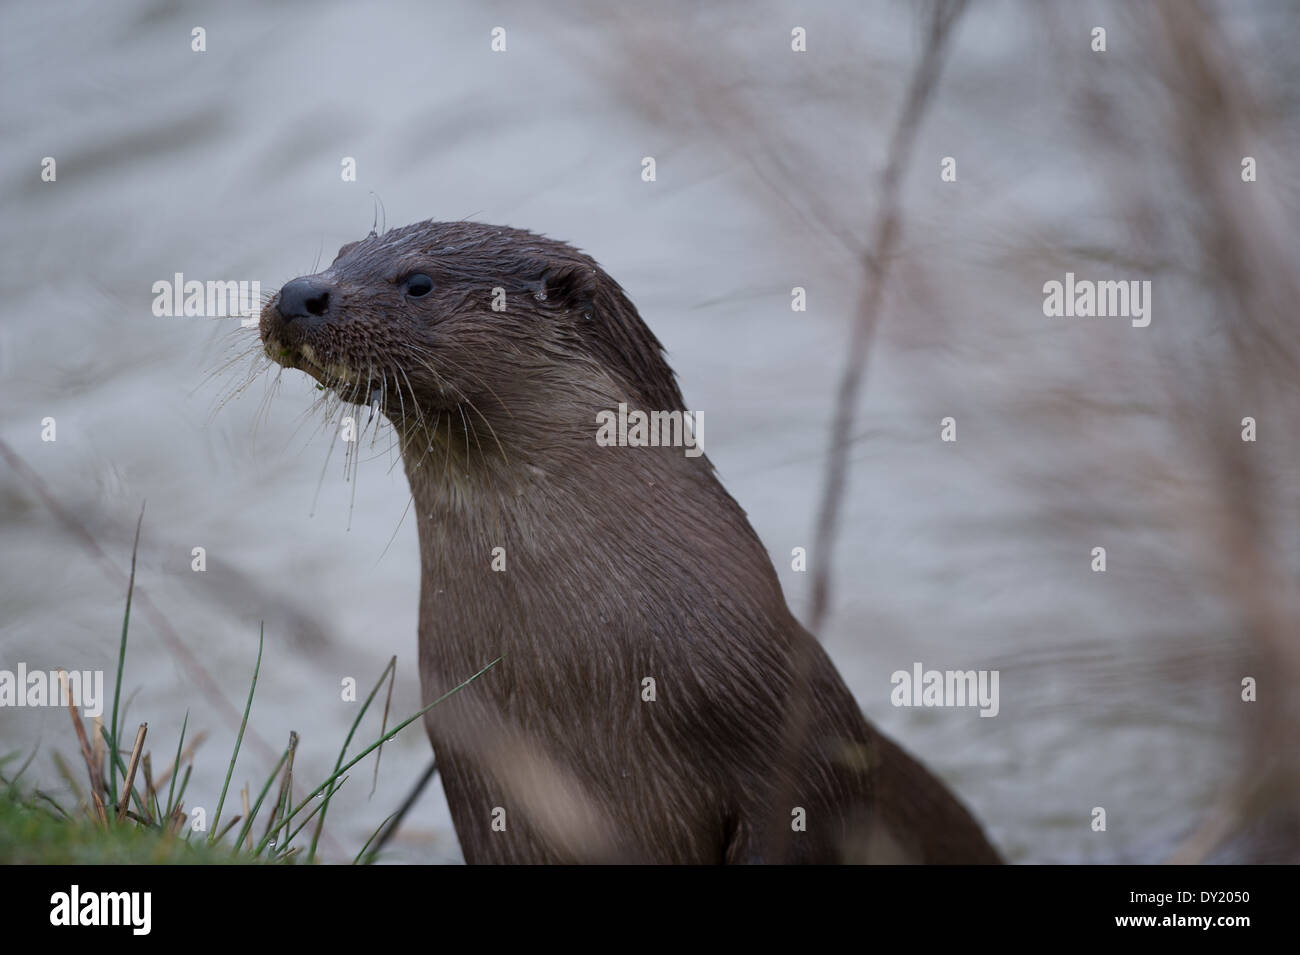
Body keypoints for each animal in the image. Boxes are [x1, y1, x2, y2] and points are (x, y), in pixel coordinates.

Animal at [260, 219, 1002, 864]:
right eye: (342, 252)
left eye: (418, 282)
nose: (299, 292)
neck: (586, 673)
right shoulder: (491, 784)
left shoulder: (801, 747)